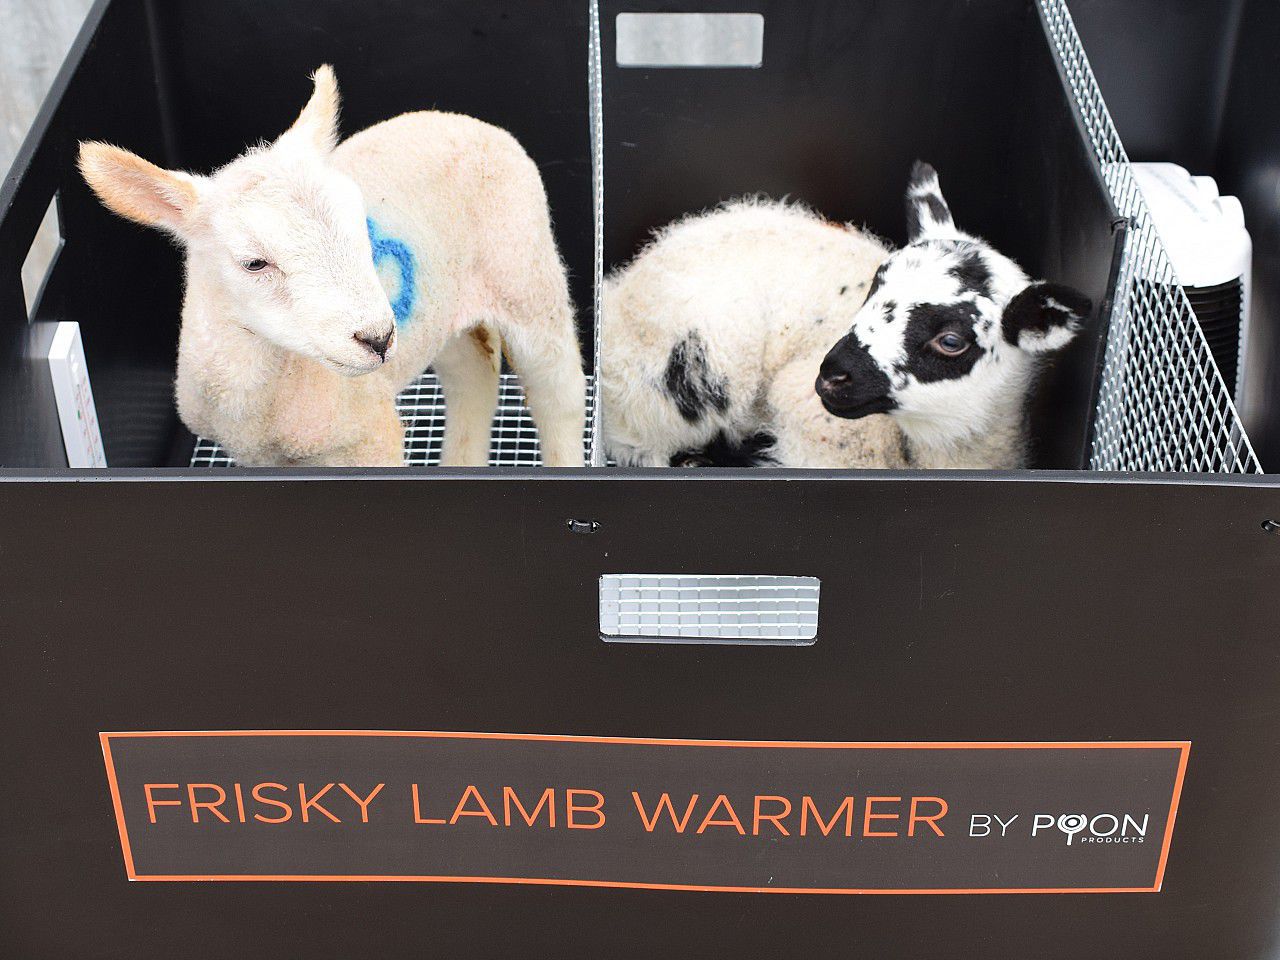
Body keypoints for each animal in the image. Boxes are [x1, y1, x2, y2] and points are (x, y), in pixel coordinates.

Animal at [77, 66, 586, 467]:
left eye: (361, 224)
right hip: (444, 303)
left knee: (558, 389)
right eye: (254, 263)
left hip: (524, 269)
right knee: (473, 373)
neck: (261, 404)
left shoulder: (373, 438)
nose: (378, 338)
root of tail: (461, 119)